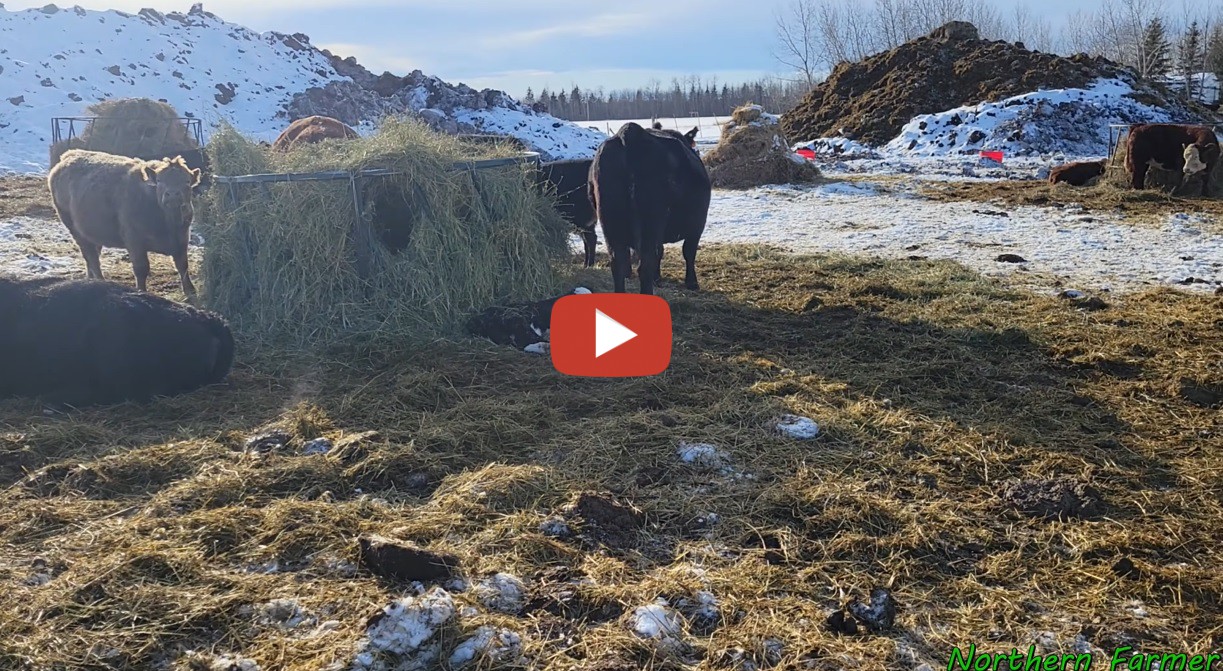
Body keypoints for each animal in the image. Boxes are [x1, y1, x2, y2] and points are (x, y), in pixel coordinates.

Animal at [48, 149, 202, 302]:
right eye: (159, 181)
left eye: (187, 181)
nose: (173, 194)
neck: (169, 223)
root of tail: (69, 155)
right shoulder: (134, 240)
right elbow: (141, 268)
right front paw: (142, 291)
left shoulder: (182, 238)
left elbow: (183, 265)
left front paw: (191, 291)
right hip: (74, 229)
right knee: (91, 257)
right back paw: (100, 281)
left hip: (92, 232)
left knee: (92, 255)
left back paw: (89, 279)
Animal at [588, 122, 711, 295]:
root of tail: (630, 132)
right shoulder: (697, 224)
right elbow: (689, 251)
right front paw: (691, 282)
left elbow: (661, 251)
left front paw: (657, 277)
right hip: (652, 221)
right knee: (644, 266)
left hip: (610, 221)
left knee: (618, 264)